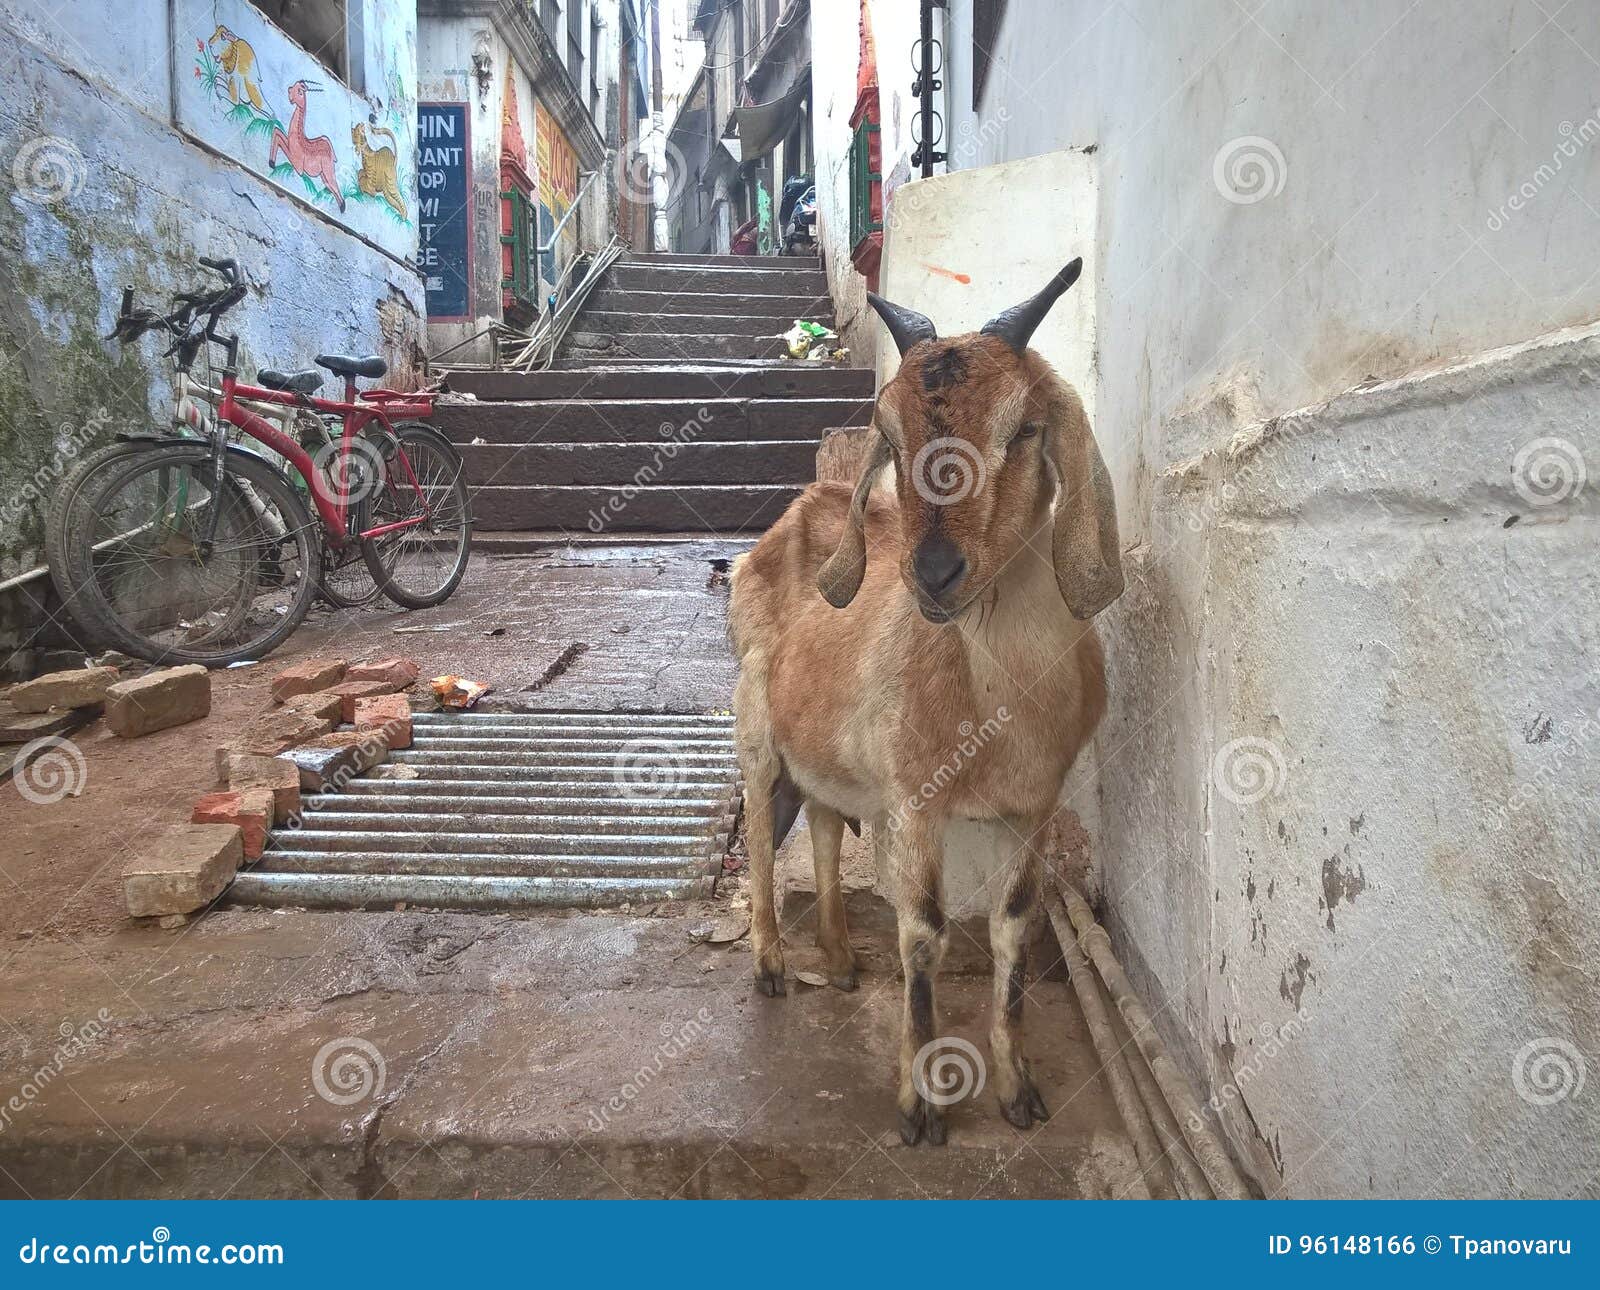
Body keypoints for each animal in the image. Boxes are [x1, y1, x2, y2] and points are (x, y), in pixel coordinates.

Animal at [727, 260, 1124, 1145]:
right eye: (894, 438)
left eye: (1025, 429)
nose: (935, 574)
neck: (998, 712)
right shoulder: (914, 803)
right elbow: (923, 937)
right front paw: (920, 1107)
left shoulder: (1033, 807)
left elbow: (1013, 931)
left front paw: (1018, 1091)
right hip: (755, 730)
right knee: (765, 837)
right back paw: (771, 964)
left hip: (832, 756)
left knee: (825, 826)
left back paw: (840, 961)